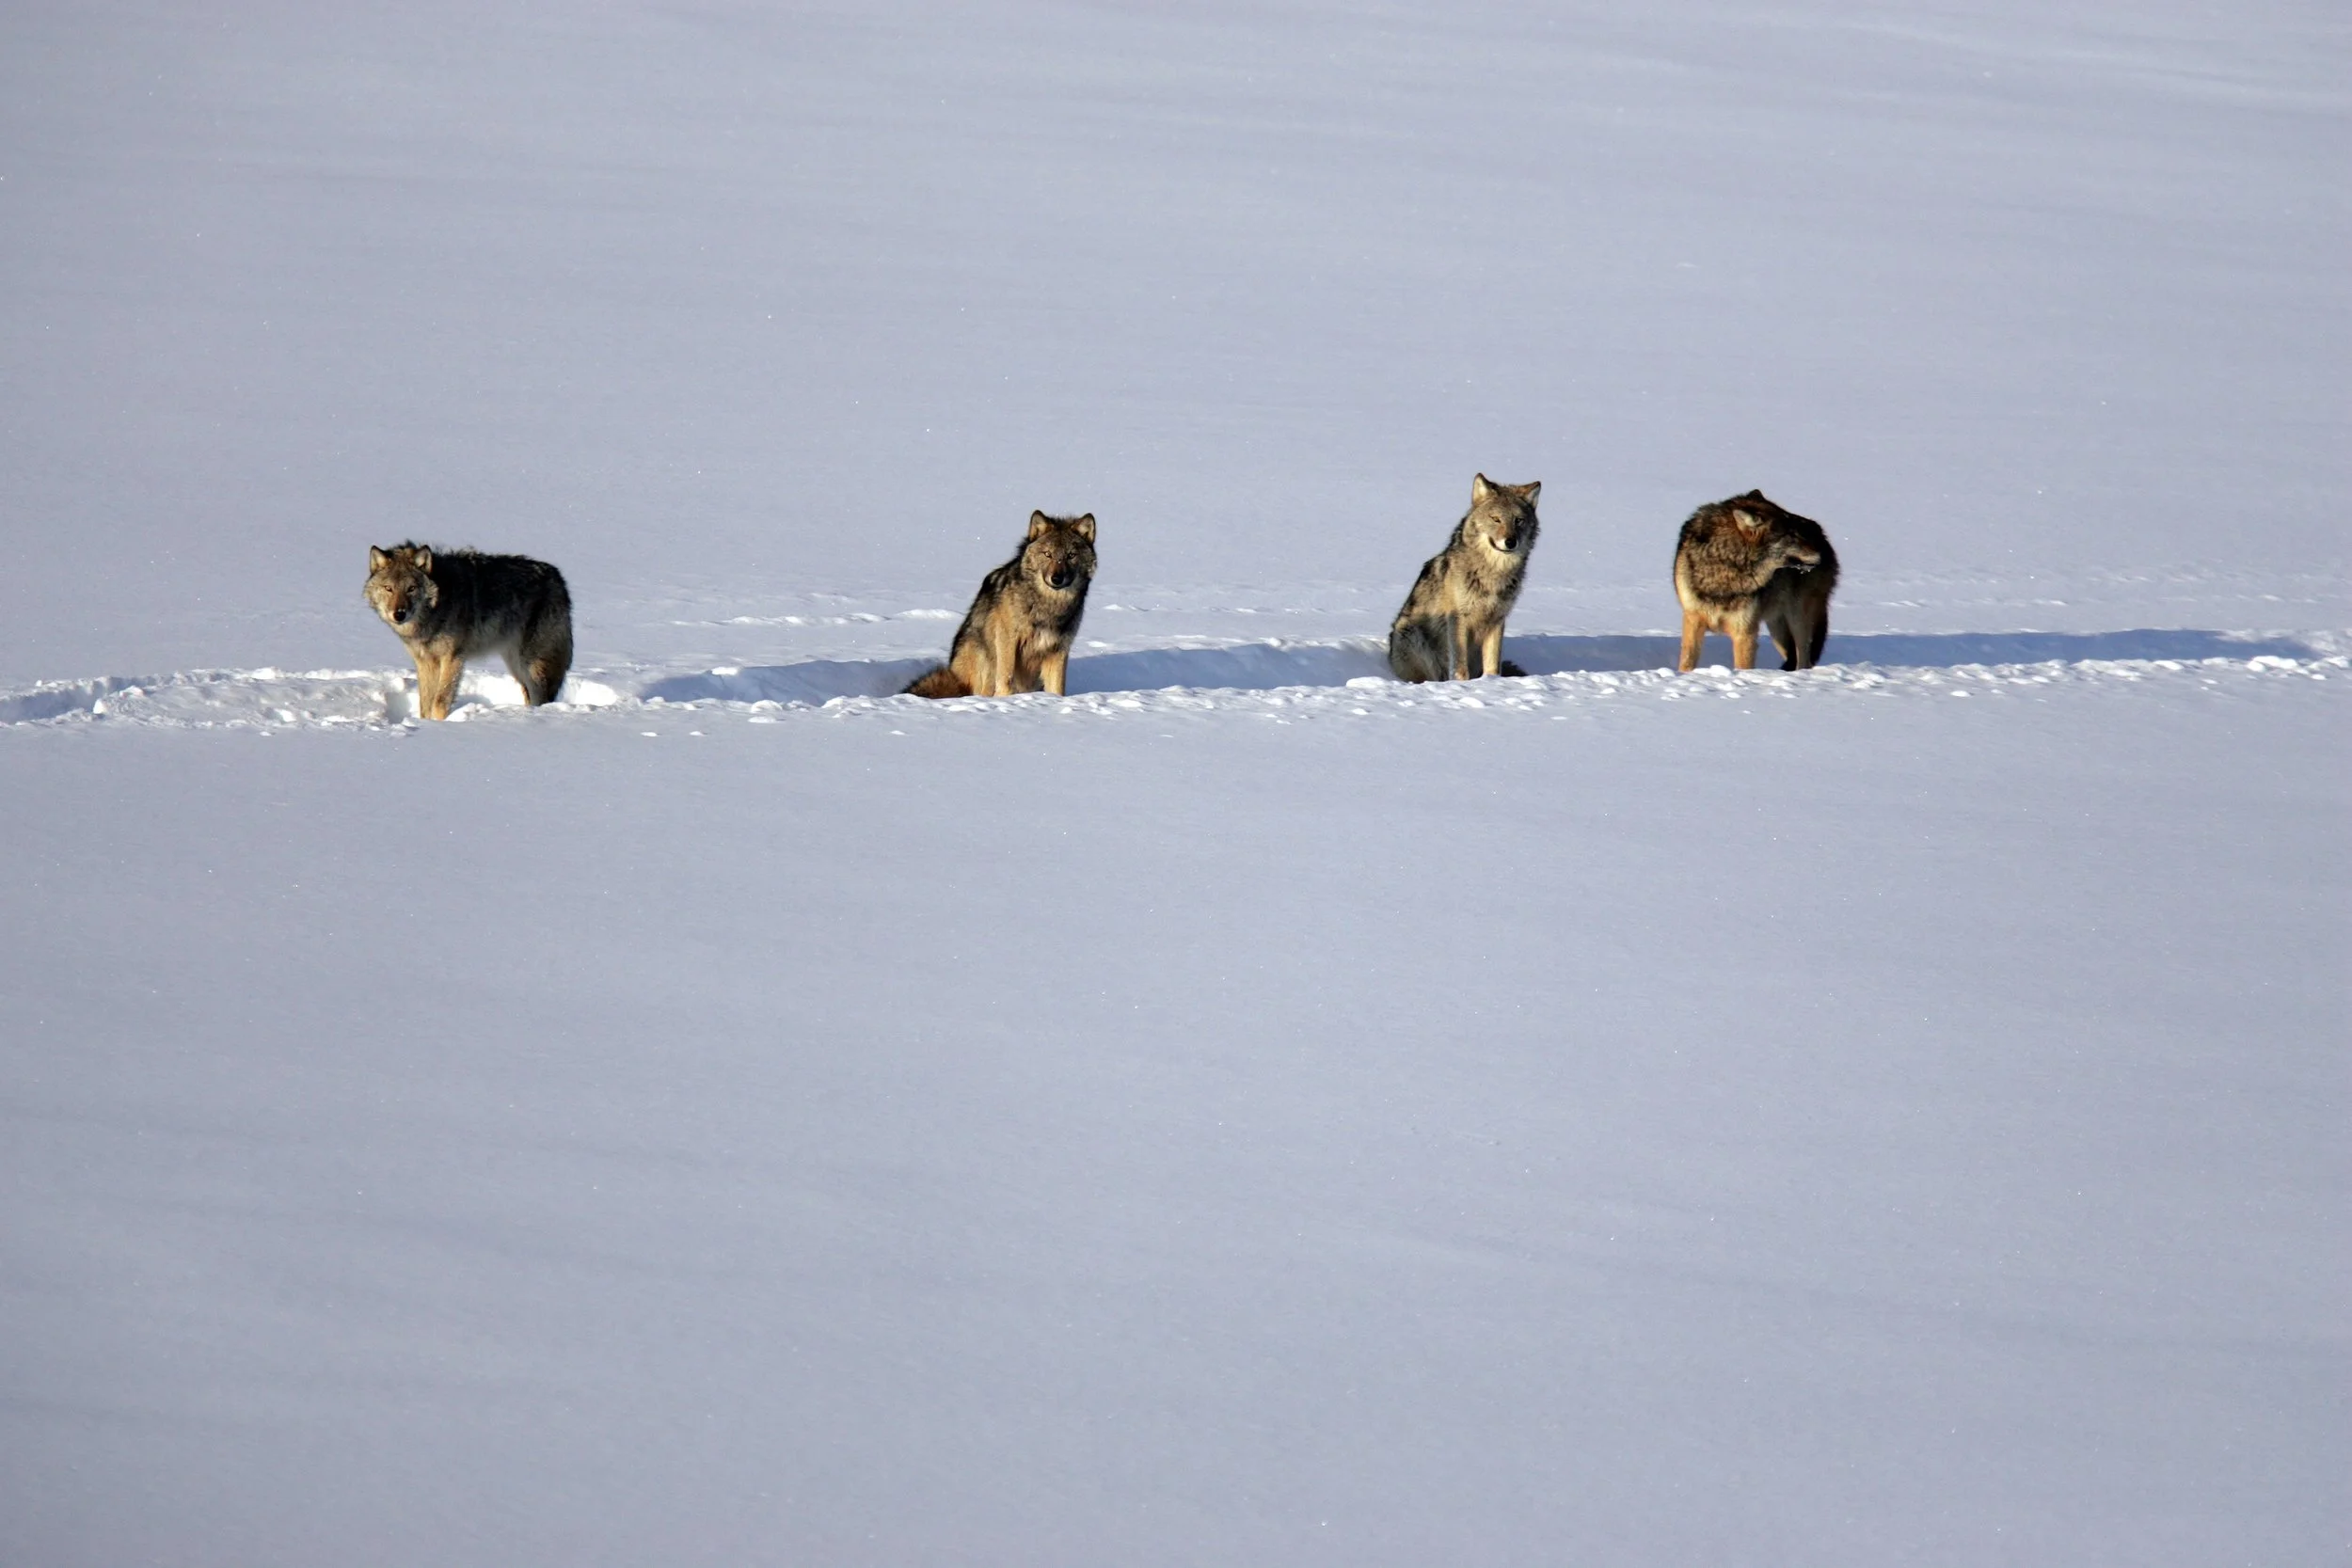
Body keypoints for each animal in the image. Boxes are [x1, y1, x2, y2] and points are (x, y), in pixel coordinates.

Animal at [364, 543, 573, 720]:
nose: (399, 614)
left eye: (411, 589)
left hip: (532, 665)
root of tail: (559, 579)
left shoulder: (453, 658)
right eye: (388, 588)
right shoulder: (425, 662)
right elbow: (425, 704)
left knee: (542, 697)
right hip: (516, 665)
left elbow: (440, 701)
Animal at [904, 512, 1097, 698]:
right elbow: (1006, 676)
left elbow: (1057, 687)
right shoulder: (1008, 638)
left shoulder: (1058, 649)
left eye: (1071, 555)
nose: (1057, 578)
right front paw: (1005, 700)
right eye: (1047, 554)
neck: (1049, 605)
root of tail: (955, 675)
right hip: (982, 654)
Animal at [1386, 474, 1542, 682]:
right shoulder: (1458, 618)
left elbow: (1493, 663)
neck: (1493, 574)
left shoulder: (1497, 619)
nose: (1510, 542)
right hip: (1412, 633)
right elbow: (1459, 665)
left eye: (1518, 520)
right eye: (1496, 519)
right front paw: (1462, 684)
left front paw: (1491, 681)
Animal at [1671, 490, 1839, 672]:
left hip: (1799, 620)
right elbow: (1687, 662)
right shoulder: (1693, 621)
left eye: (1796, 531)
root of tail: (1823, 535)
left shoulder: (1744, 632)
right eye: (1790, 534)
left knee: (1804, 659)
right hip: (1777, 629)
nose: (1821, 553)